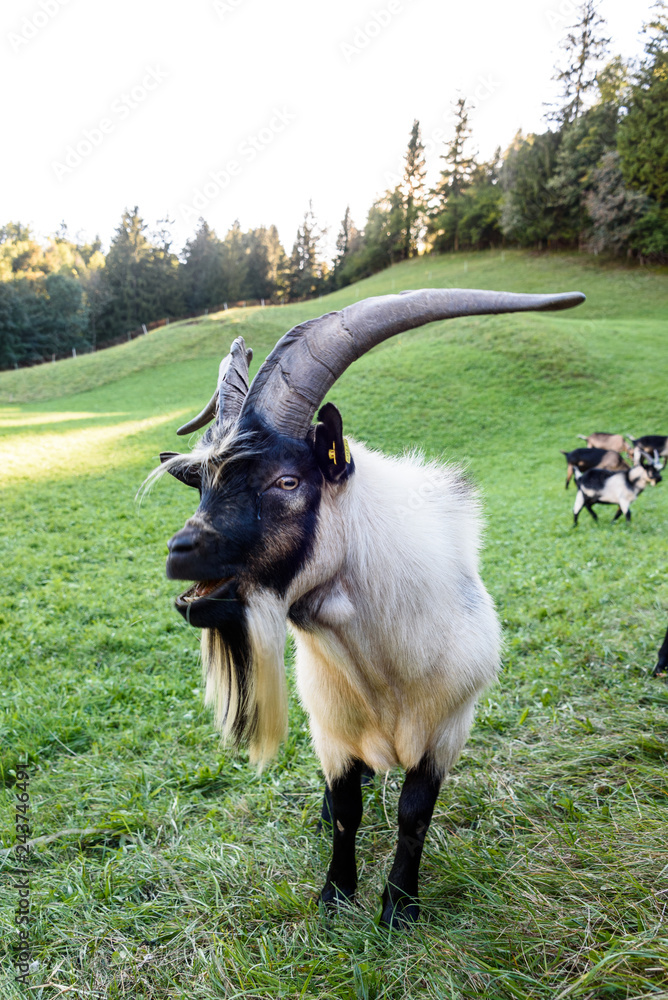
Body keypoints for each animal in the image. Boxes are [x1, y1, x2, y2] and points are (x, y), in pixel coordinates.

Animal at [155, 287, 585, 927]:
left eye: (287, 481)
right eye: (205, 483)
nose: (181, 552)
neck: (386, 664)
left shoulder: (445, 733)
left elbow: (413, 814)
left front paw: (399, 906)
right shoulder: (332, 732)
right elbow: (347, 810)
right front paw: (336, 896)